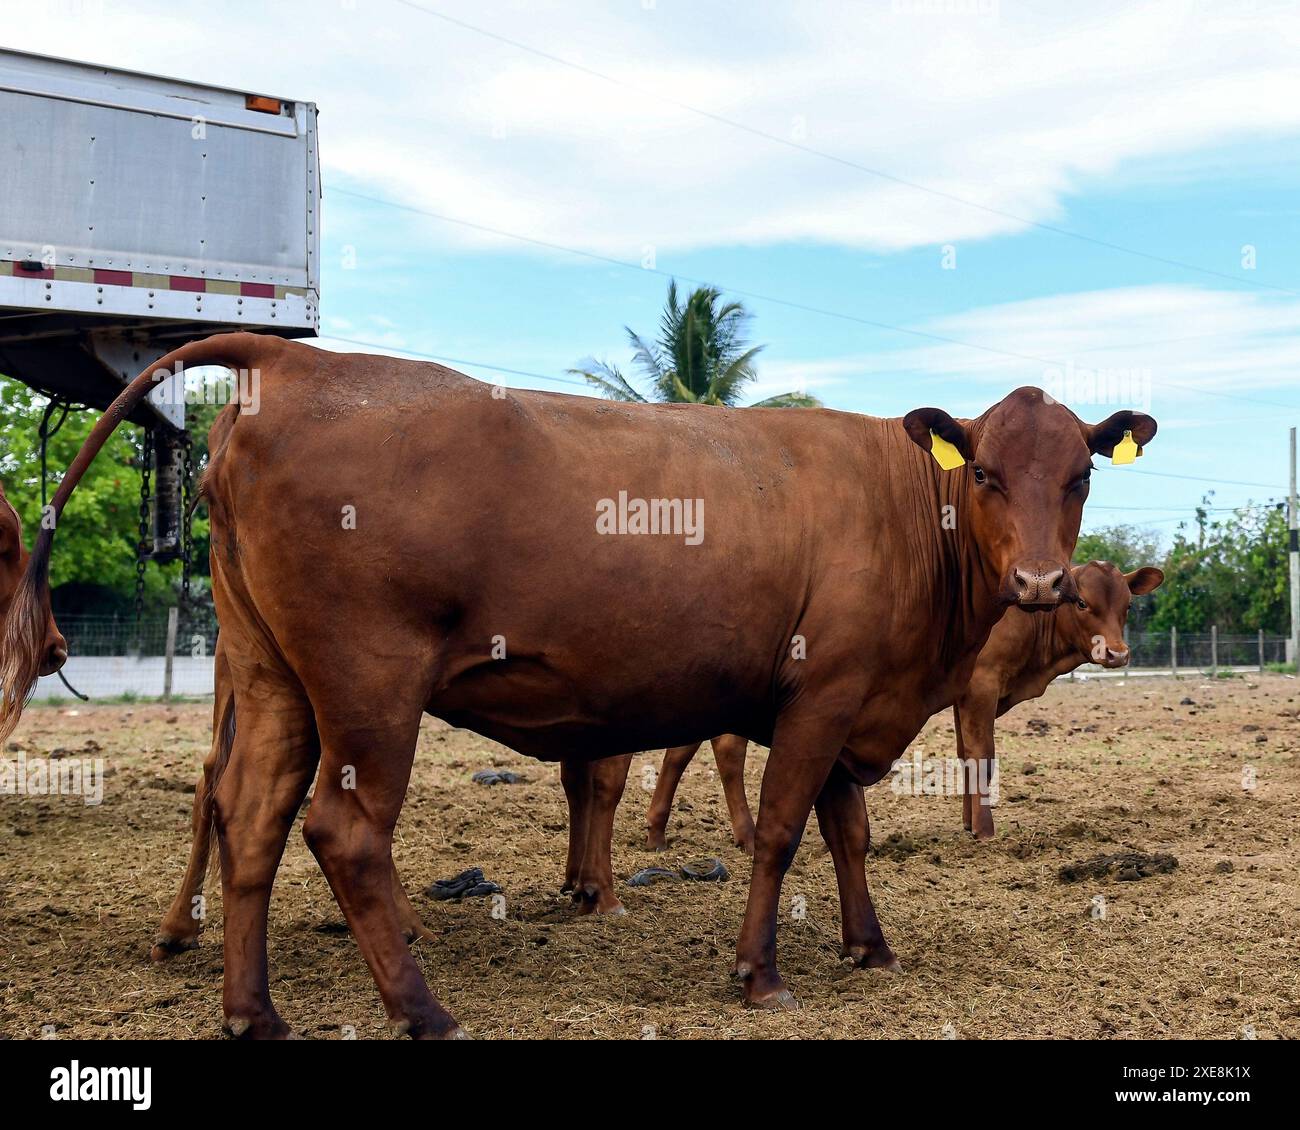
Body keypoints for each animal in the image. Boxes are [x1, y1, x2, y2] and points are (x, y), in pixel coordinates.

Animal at [557, 559, 1165, 914]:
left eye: (1126, 604)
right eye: (1082, 602)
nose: (1118, 653)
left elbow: (965, 757)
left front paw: (969, 823)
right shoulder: (981, 688)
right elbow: (981, 758)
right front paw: (985, 832)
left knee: (683, 750)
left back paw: (659, 833)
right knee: (715, 752)